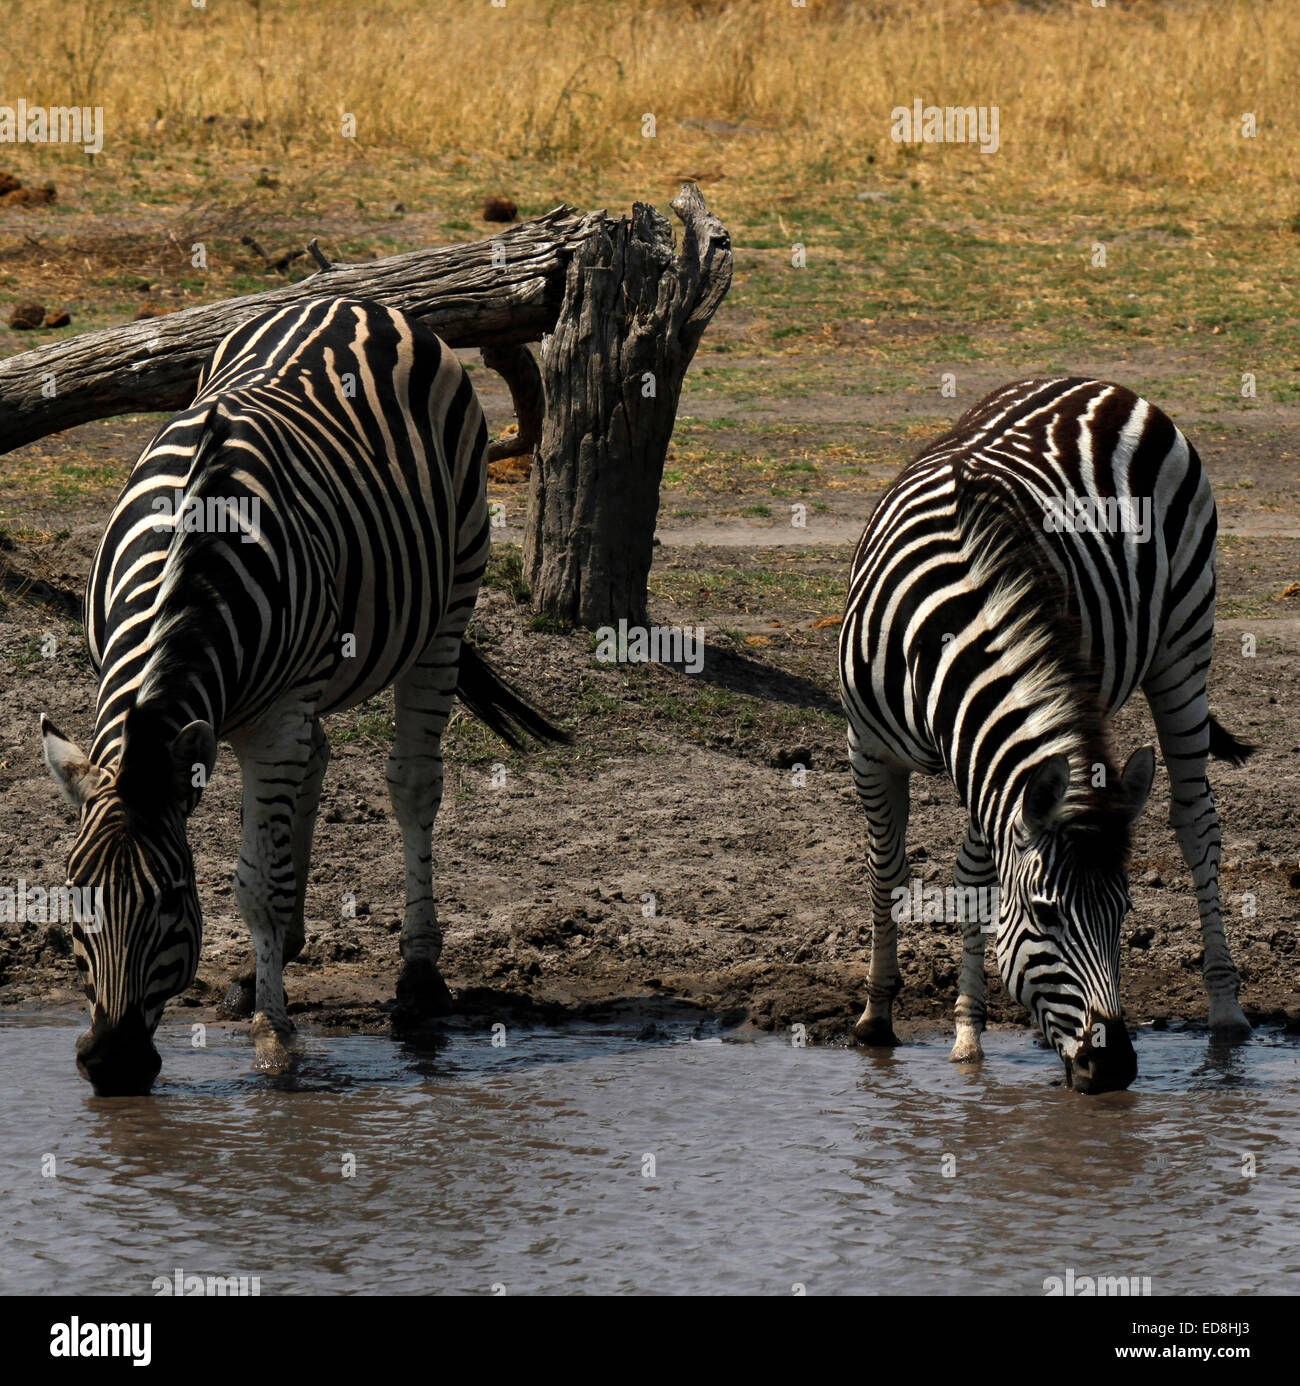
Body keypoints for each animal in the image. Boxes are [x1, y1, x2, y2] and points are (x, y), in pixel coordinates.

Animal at [40, 296, 565, 1096]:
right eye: (75, 900)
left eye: (174, 899)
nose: (114, 1066)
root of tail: (352, 299)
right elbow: (271, 855)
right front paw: (266, 988)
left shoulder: (279, 712)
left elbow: (260, 881)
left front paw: (277, 1042)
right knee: (315, 764)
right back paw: (276, 959)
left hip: (451, 599)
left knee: (413, 785)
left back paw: (418, 977)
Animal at [838, 376, 1253, 1093]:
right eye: (1046, 914)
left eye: (1125, 913)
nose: (1112, 1068)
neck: (950, 628)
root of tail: (1099, 384)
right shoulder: (867, 747)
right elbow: (885, 869)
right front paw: (877, 1015)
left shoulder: (986, 765)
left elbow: (974, 876)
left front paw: (967, 1029)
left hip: (1184, 641)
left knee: (1196, 821)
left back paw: (1224, 1006)